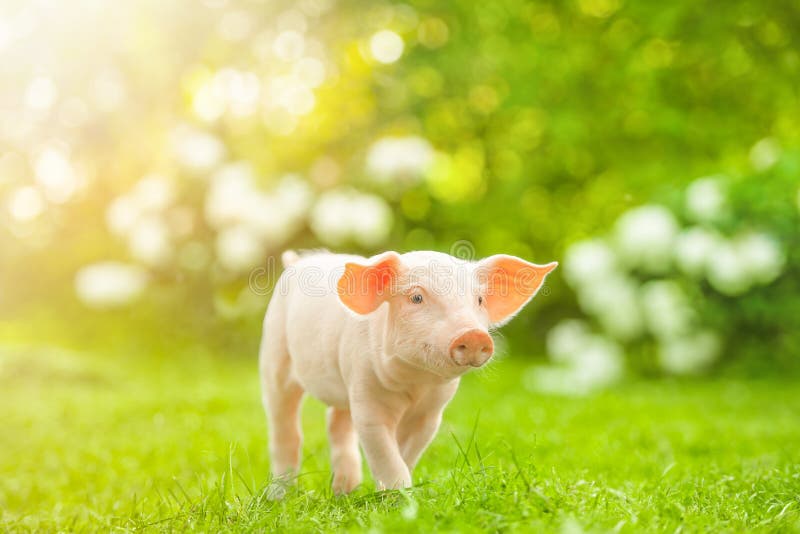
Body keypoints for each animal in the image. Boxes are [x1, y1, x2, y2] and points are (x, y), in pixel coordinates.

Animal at [259, 249, 557, 494]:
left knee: (335, 421)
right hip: (274, 356)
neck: (415, 382)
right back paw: (280, 496)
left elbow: (406, 453)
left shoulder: (430, 414)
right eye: (416, 297)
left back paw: (345, 491)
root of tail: (296, 261)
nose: (473, 335)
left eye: (480, 299)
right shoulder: (367, 399)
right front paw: (399, 499)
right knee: (285, 426)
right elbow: (385, 454)